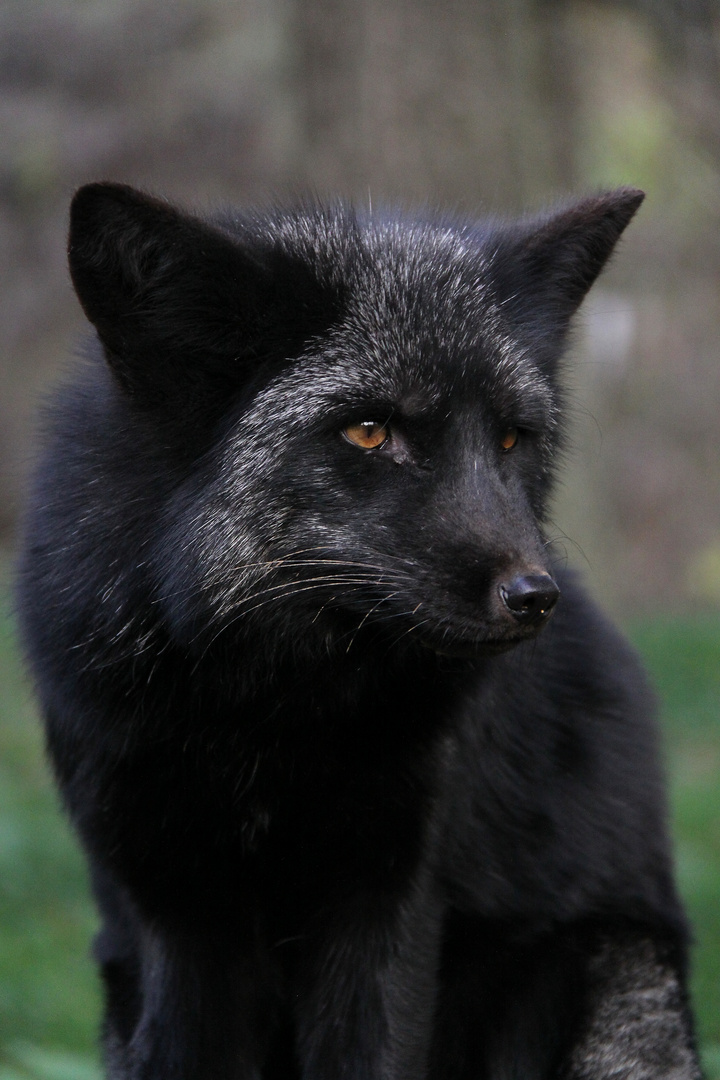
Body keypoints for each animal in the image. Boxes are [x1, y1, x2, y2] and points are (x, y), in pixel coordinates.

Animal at [16, 181, 701, 1078]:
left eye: (511, 438)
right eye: (371, 432)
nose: (534, 597)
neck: (264, 722)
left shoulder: (391, 897)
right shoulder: (173, 911)